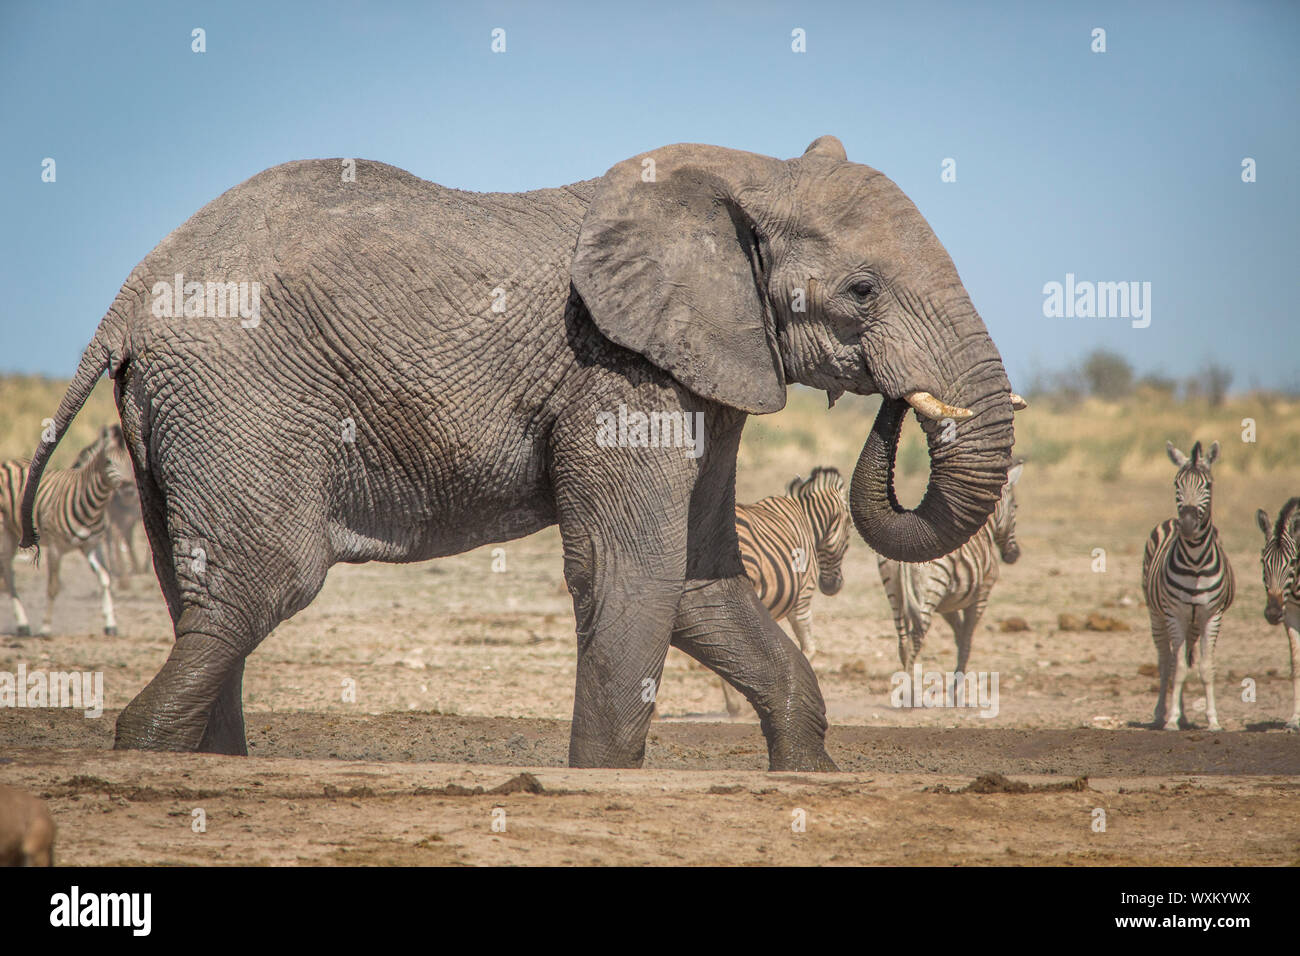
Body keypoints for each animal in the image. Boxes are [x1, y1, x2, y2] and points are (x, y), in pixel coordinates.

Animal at [21, 134, 1018, 770]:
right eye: (861, 290)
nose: (896, 402)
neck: (746, 174)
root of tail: (131, 293)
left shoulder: (703, 370)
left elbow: (700, 580)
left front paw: (807, 775)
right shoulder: (618, 370)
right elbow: (636, 573)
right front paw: (600, 780)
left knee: (198, 597)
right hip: (240, 400)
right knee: (260, 585)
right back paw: (146, 754)